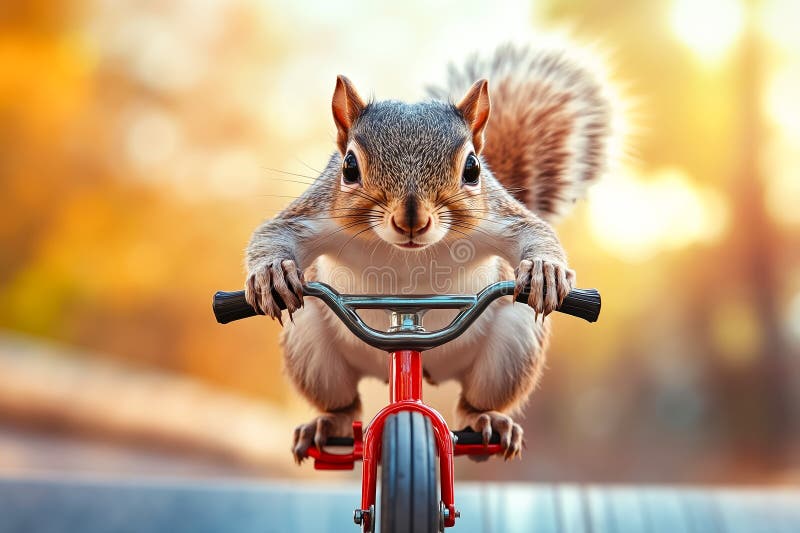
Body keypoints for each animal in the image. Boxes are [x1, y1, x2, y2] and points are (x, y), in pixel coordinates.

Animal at [245, 43, 613, 462]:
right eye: (349, 166)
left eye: (473, 168)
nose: (412, 219)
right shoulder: (315, 213)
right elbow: (275, 231)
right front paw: (272, 273)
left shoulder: (500, 217)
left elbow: (535, 231)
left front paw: (544, 270)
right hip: (311, 346)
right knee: (344, 404)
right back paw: (326, 424)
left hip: (512, 347)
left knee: (474, 402)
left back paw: (487, 421)